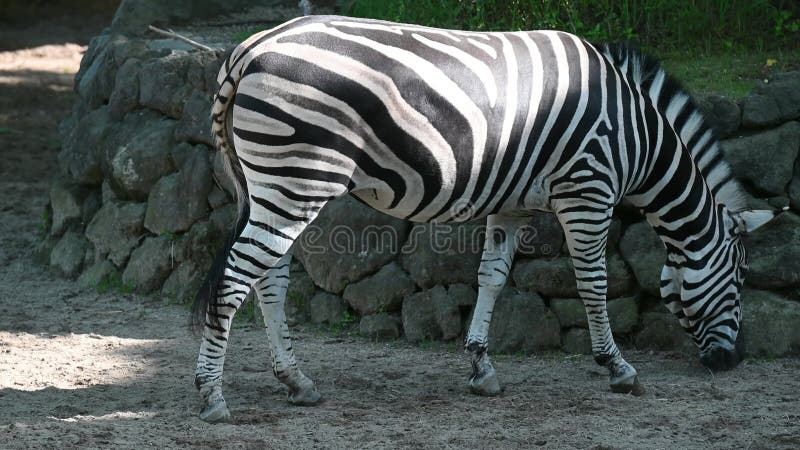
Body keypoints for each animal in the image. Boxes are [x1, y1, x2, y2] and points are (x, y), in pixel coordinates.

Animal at [192, 15, 779, 422]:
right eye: (741, 277)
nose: (734, 362)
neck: (638, 135)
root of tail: (252, 46)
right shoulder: (588, 190)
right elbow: (592, 282)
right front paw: (617, 368)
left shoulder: (511, 203)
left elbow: (492, 279)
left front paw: (481, 367)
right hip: (297, 179)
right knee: (237, 279)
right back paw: (212, 396)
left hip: (277, 184)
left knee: (268, 279)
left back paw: (296, 381)